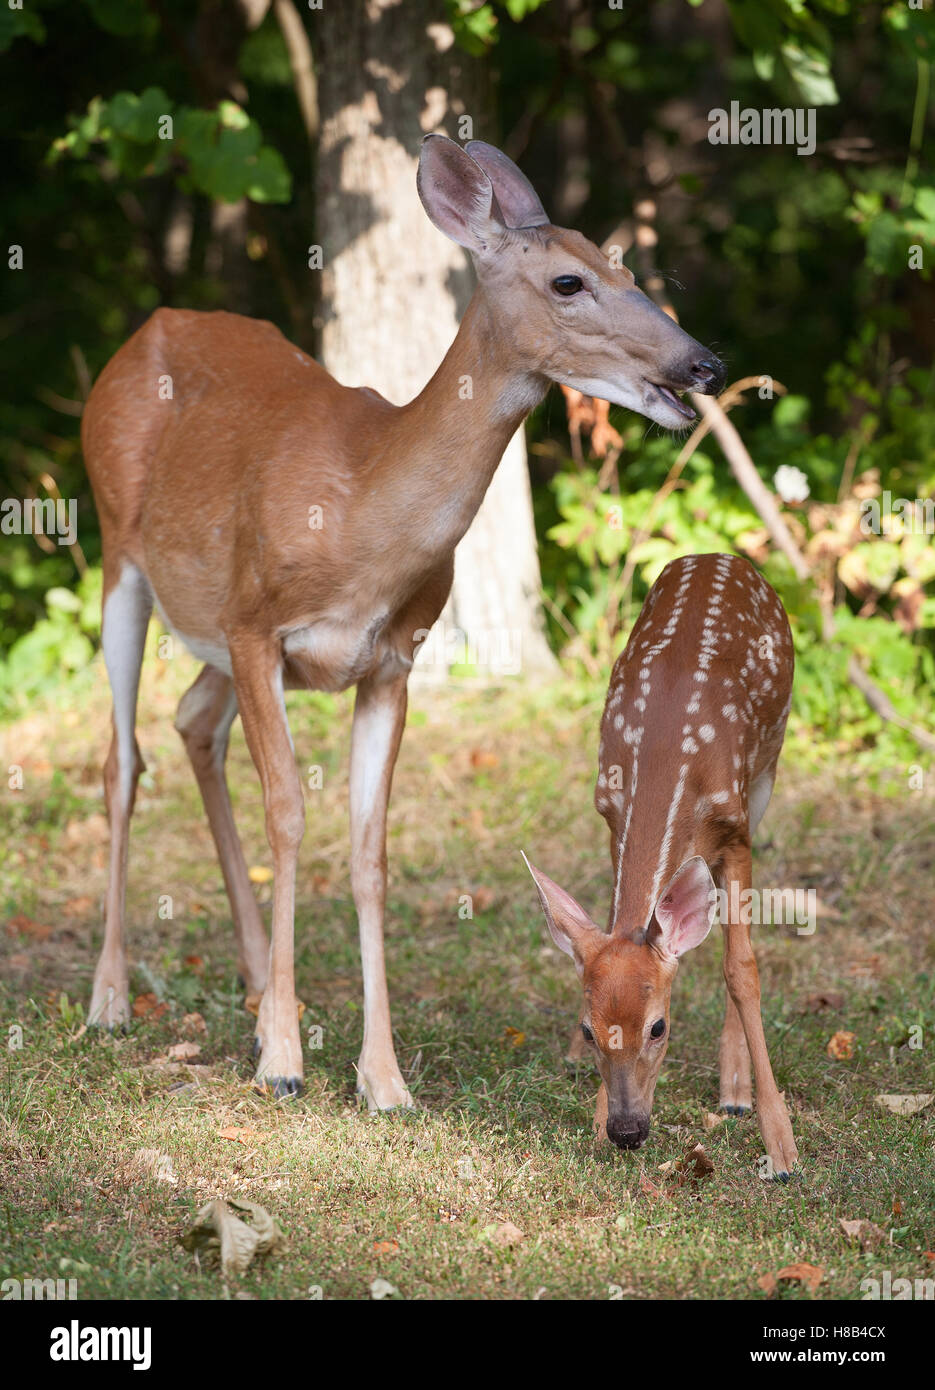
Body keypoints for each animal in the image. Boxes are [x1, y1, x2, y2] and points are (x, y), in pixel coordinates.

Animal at [82, 135, 725, 1108]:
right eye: (569, 281)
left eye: (627, 267)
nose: (702, 364)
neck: (361, 514)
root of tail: (138, 332)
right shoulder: (256, 625)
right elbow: (288, 817)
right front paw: (284, 1064)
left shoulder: (390, 662)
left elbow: (368, 853)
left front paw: (379, 1078)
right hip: (121, 554)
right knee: (123, 760)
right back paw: (112, 999)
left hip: (208, 632)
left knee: (191, 721)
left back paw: (254, 986)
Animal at [524, 552, 798, 1178]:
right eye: (590, 1029)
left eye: (659, 1027)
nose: (628, 1131)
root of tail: (719, 555)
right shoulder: (610, 811)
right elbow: (609, 922)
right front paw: (596, 1113)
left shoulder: (736, 826)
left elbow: (741, 968)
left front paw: (781, 1145)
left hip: (767, 769)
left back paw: (735, 1090)